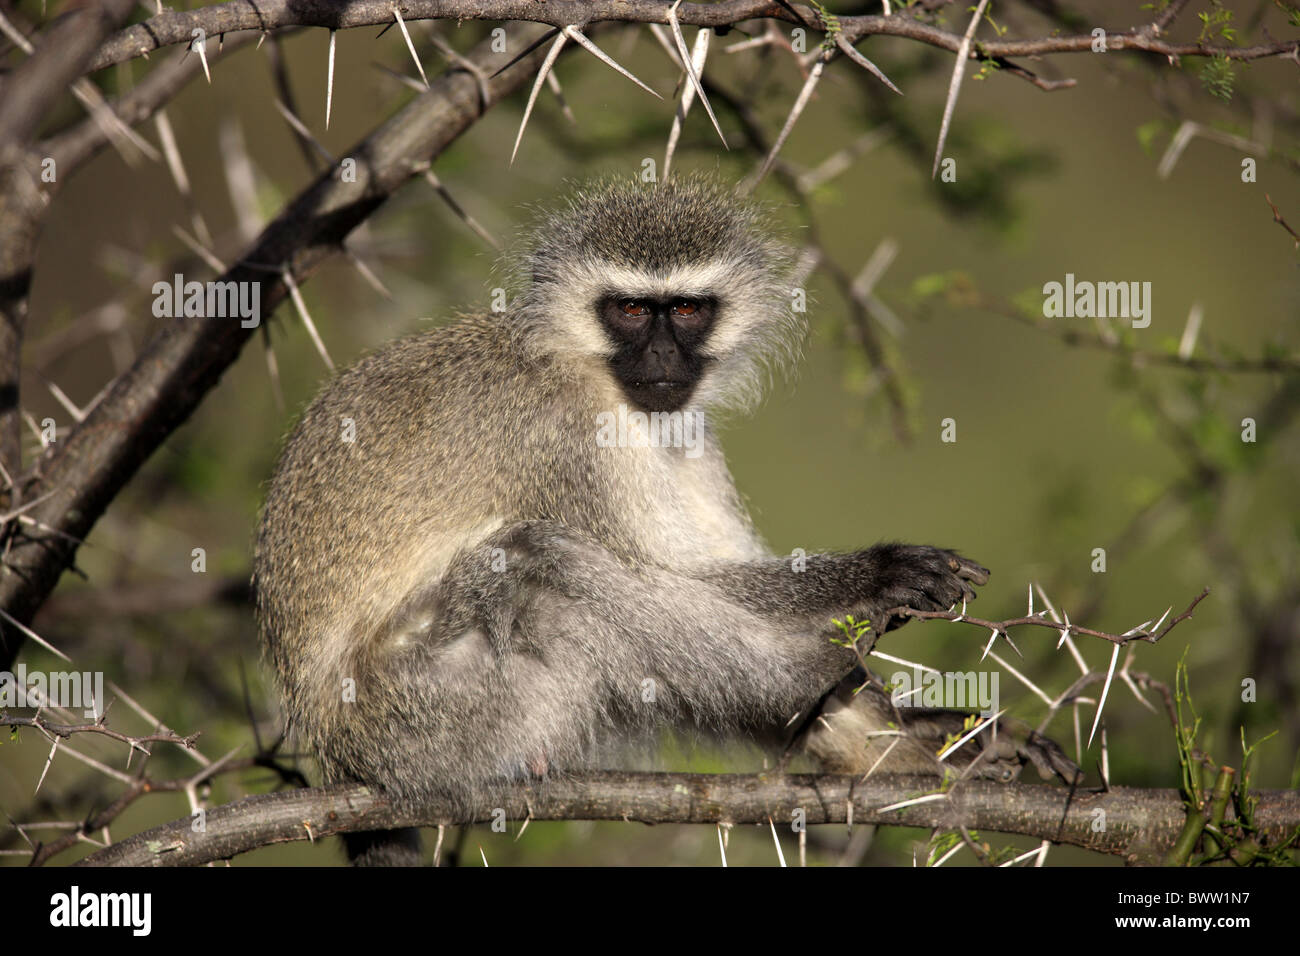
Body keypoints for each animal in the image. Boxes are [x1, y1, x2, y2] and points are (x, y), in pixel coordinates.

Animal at [254, 175, 1076, 866]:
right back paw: (801, 687)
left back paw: (905, 749)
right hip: (424, 712)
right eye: (628, 309)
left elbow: (704, 563)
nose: (659, 358)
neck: (588, 367)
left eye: (684, 309)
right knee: (542, 562)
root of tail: (335, 744)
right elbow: (674, 574)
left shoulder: (689, 427)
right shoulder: (565, 434)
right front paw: (878, 572)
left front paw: (928, 728)